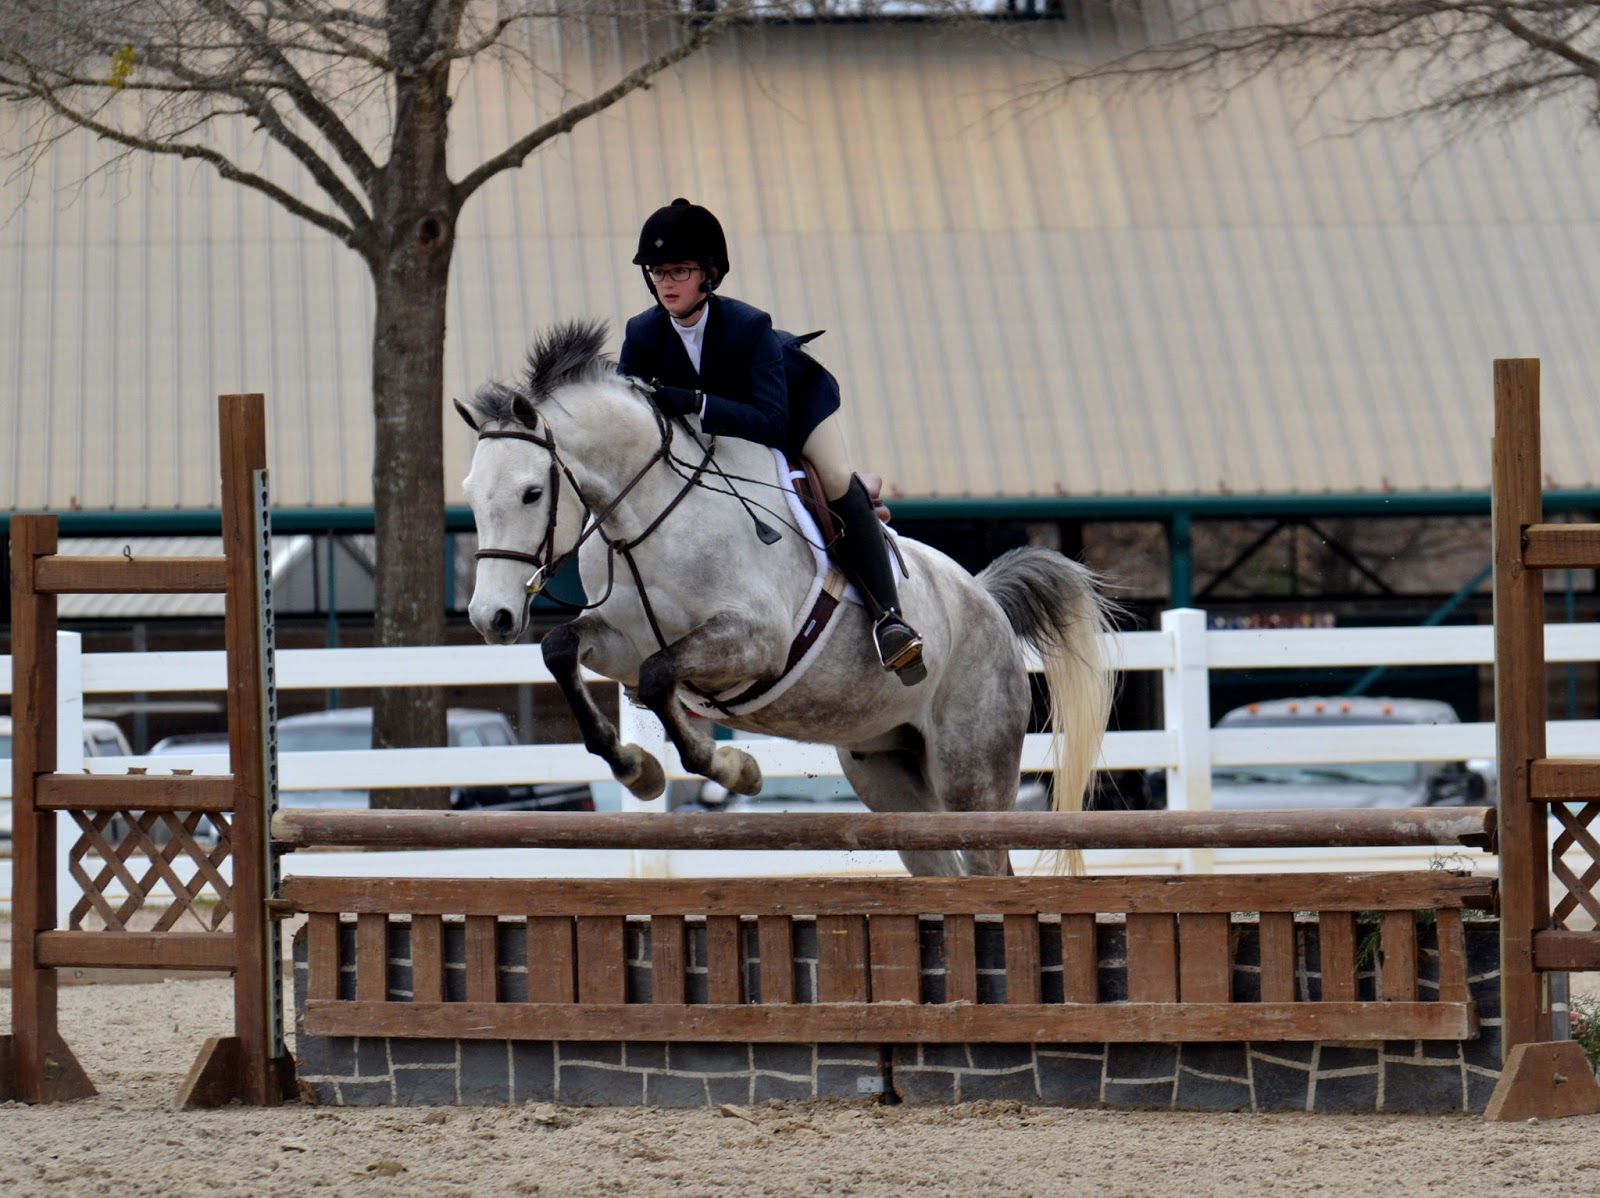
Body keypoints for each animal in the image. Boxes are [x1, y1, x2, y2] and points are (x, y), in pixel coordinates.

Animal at [457, 320, 1118, 877]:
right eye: (471, 491)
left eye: (531, 492)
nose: (492, 618)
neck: (647, 514)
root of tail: (985, 600)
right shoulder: (620, 639)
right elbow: (564, 650)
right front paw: (637, 770)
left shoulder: (756, 643)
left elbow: (659, 675)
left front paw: (734, 769)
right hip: (889, 774)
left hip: (971, 771)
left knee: (988, 862)